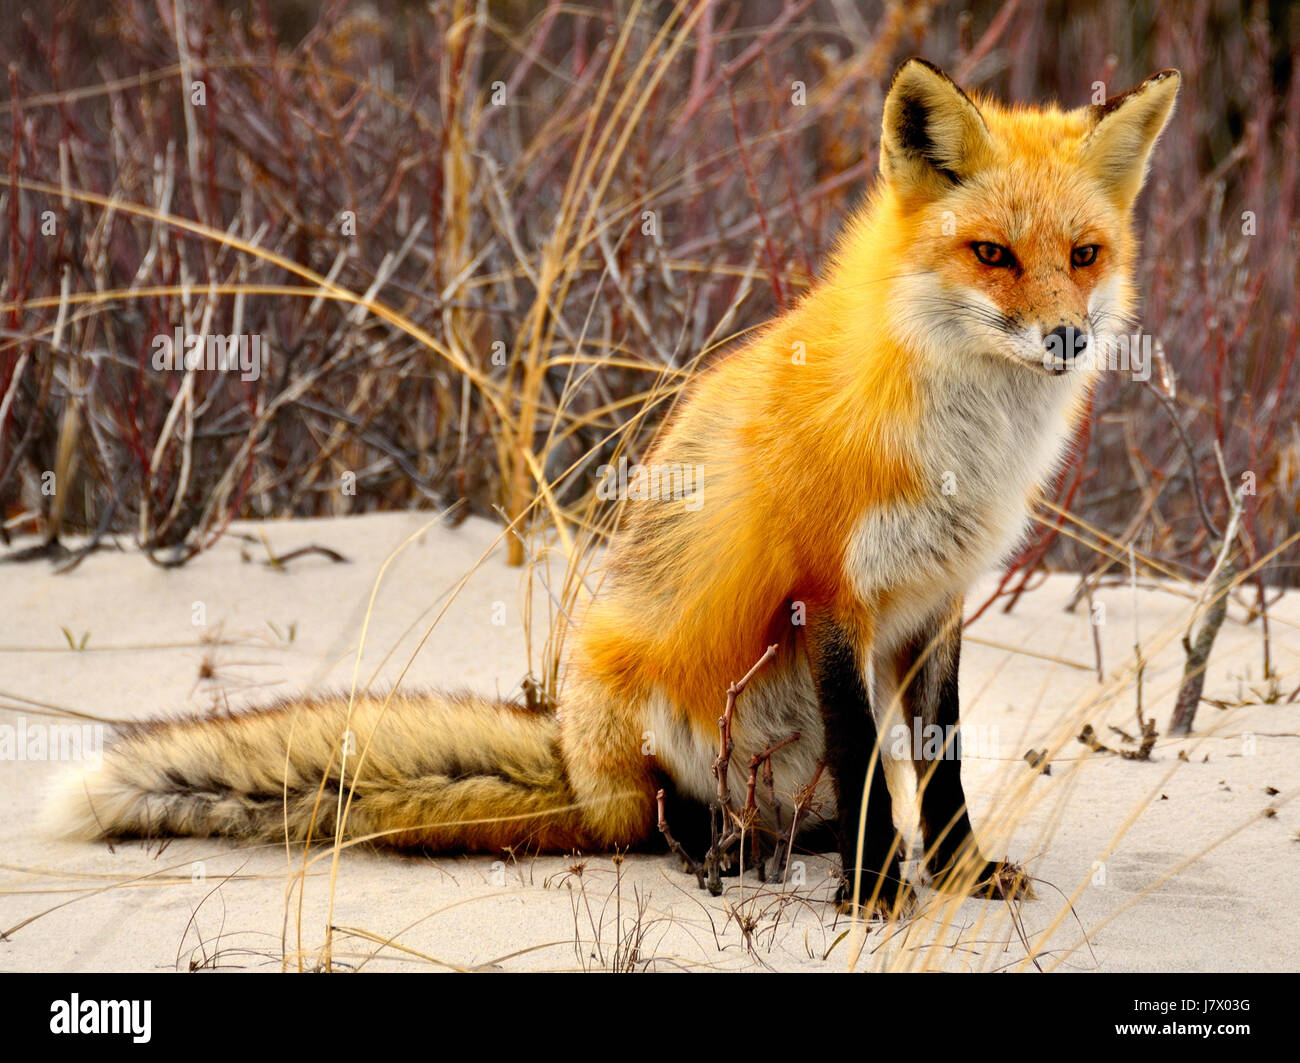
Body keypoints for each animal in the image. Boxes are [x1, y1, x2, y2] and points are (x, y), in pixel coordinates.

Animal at [49, 59, 1179, 916]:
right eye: (991, 254)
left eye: (1084, 254)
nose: (1067, 337)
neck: (962, 441)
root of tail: (572, 763)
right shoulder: (831, 600)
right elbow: (869, 761)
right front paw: (877, 896)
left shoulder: (936, 602)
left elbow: (938, 768)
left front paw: (955, 872)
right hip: (647, 704)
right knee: (666, 816)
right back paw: (723, 850)